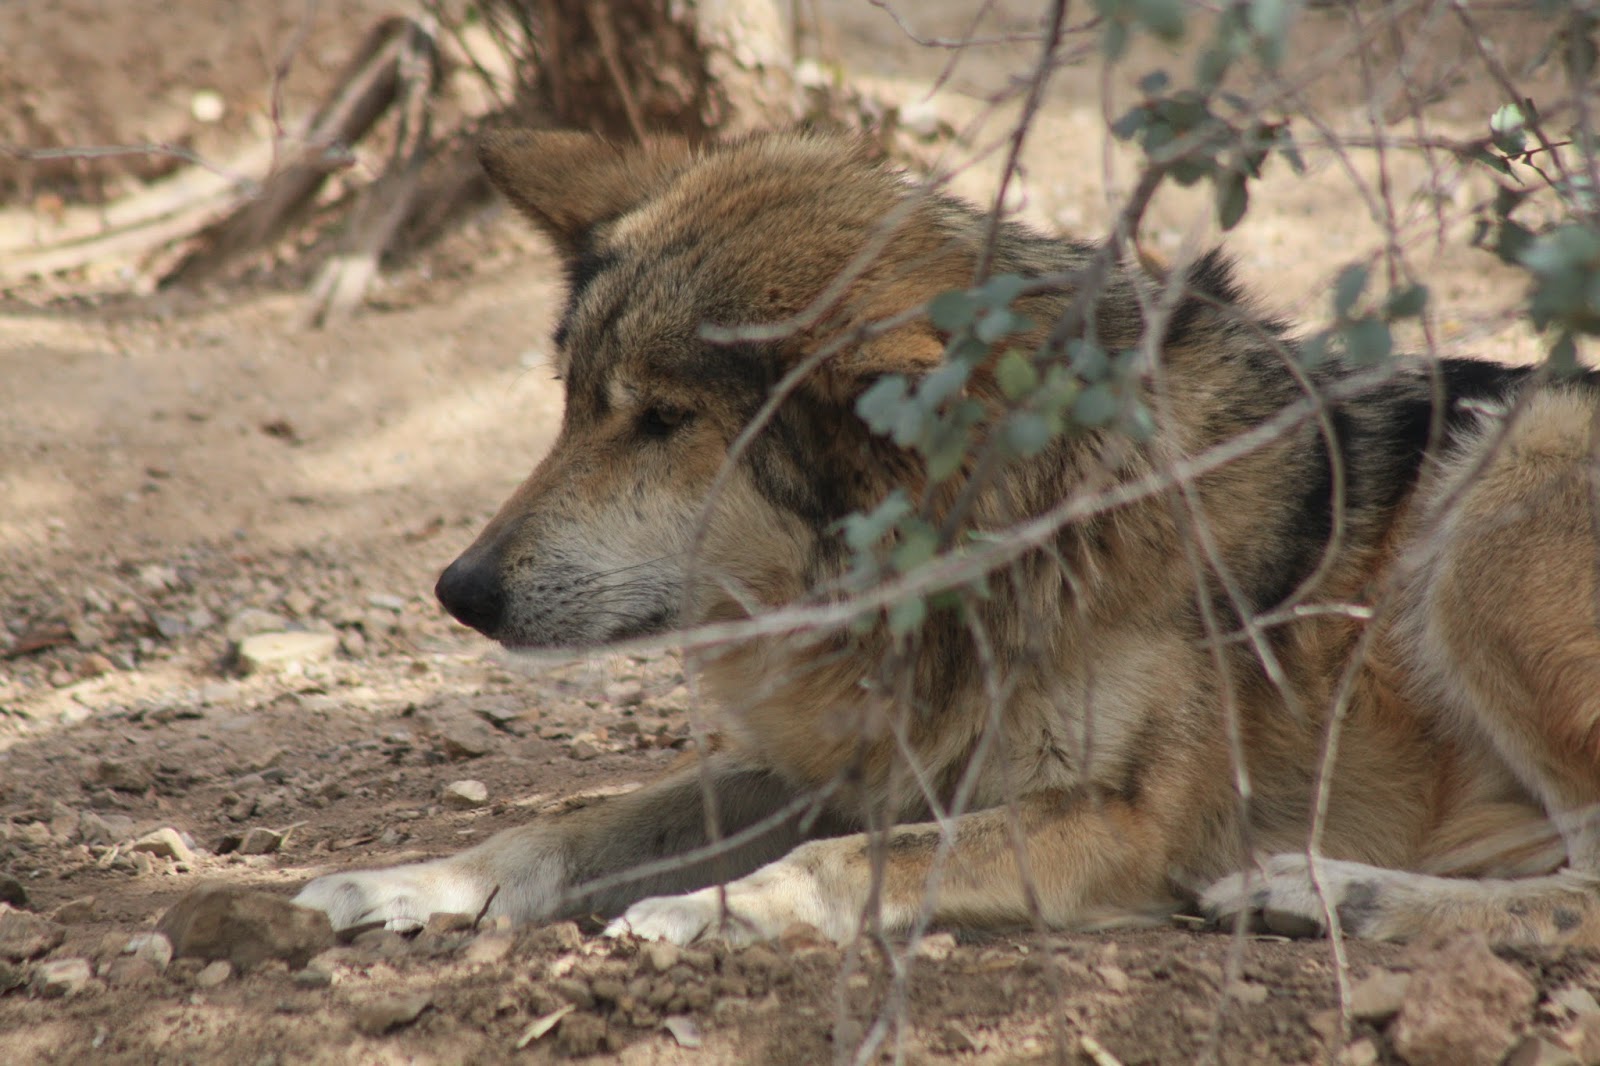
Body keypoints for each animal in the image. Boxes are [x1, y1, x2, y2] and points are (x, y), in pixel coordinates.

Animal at [295, 128, 1600, 948]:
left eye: (662, 422)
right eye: (570, 403)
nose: (459, 589)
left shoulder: (1121, 822)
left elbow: (838, 866)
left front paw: (712, 911)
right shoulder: (829, 771)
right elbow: (562, 828)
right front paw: (408, 880)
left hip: (1503, 477)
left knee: (1580, 891)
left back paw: (1329, 894)